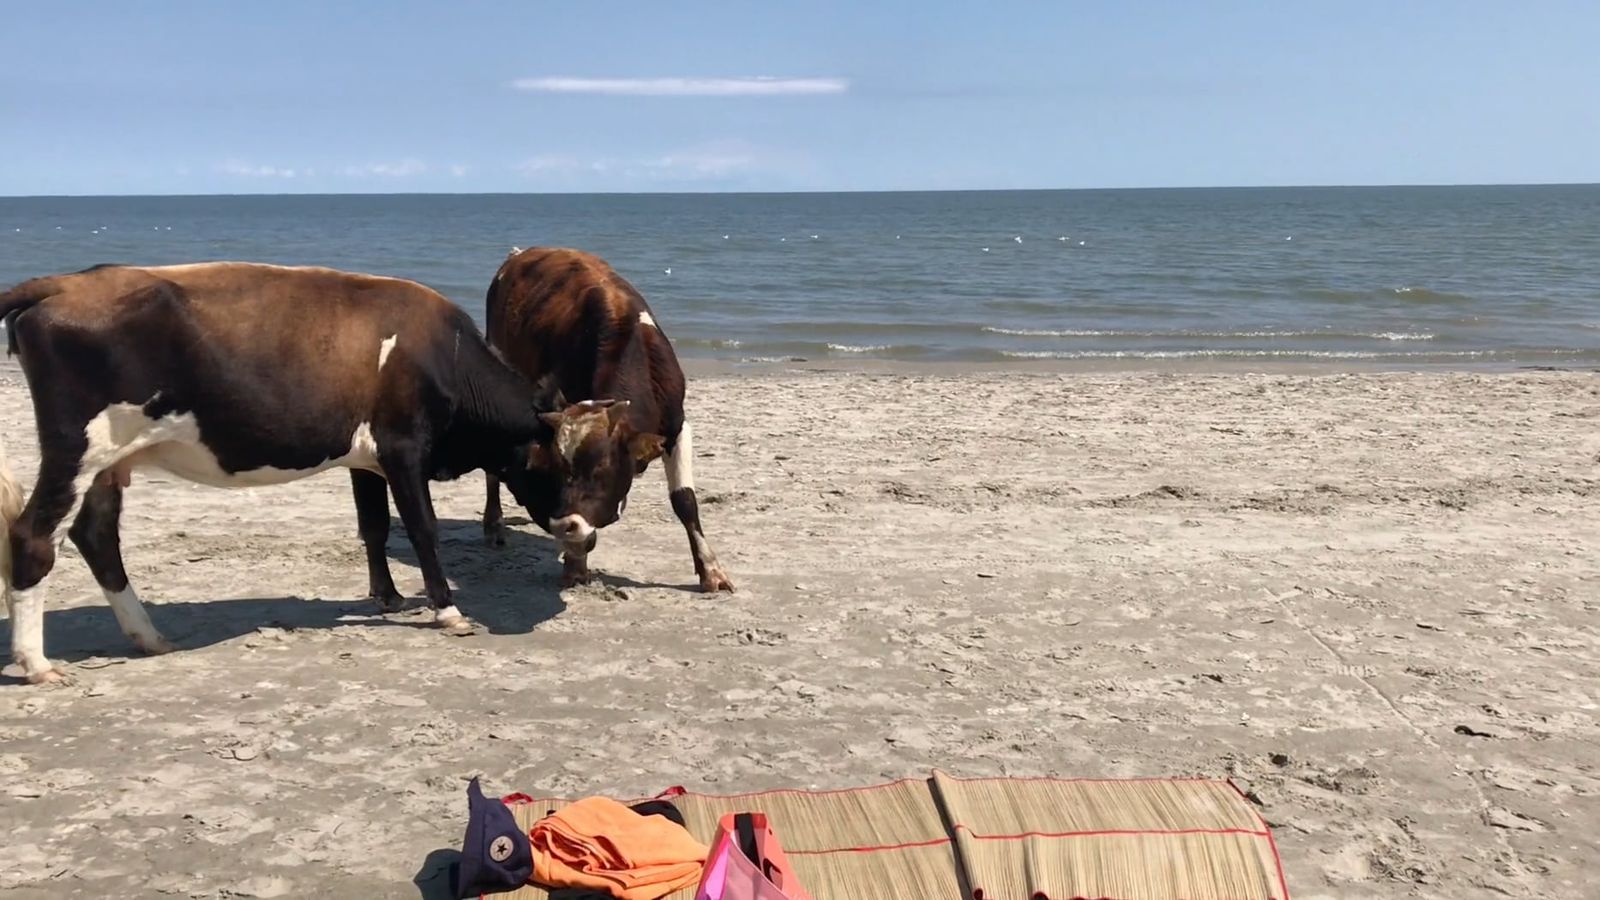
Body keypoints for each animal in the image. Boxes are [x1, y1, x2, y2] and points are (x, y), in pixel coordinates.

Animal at [0, 262, 560, 684]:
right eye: (558, 462)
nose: (576, 528)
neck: (447, 355)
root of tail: (69, 282)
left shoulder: (367, 459)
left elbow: (375, 526)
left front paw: (388, 597)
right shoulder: (404, 448)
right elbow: (423, 529)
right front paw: (446, 610)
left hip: (109, 460)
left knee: (95, 535)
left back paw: (149, 636)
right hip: (78, 448)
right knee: (35, 535)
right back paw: (37, 664)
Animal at [480, 247, 734, 593]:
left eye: (601, 468)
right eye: (555, 469)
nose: (564, 524)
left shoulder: (677, 427)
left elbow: (685, 501)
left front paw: (710, 569)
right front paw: (575, 565)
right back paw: (494, 524)